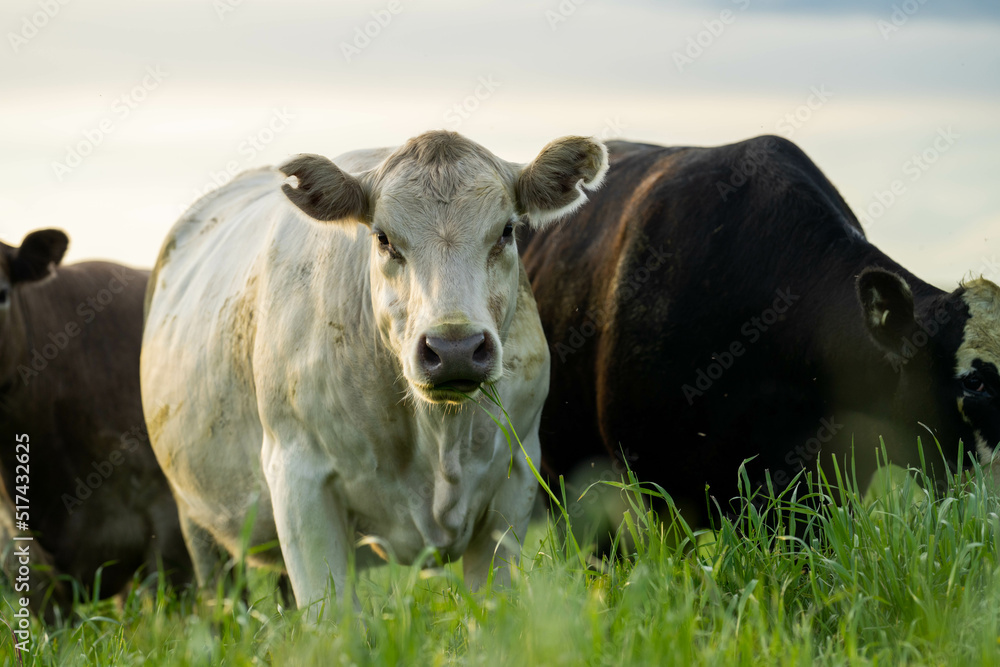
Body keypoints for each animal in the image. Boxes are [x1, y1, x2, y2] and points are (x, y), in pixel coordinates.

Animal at [140, 130, 609, 615]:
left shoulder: (516, 475)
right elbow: (330, 616)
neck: (439, 438)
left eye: (507, 230)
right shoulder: (298, 478)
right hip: (197, 519)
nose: (454, 348)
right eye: (383, 238)